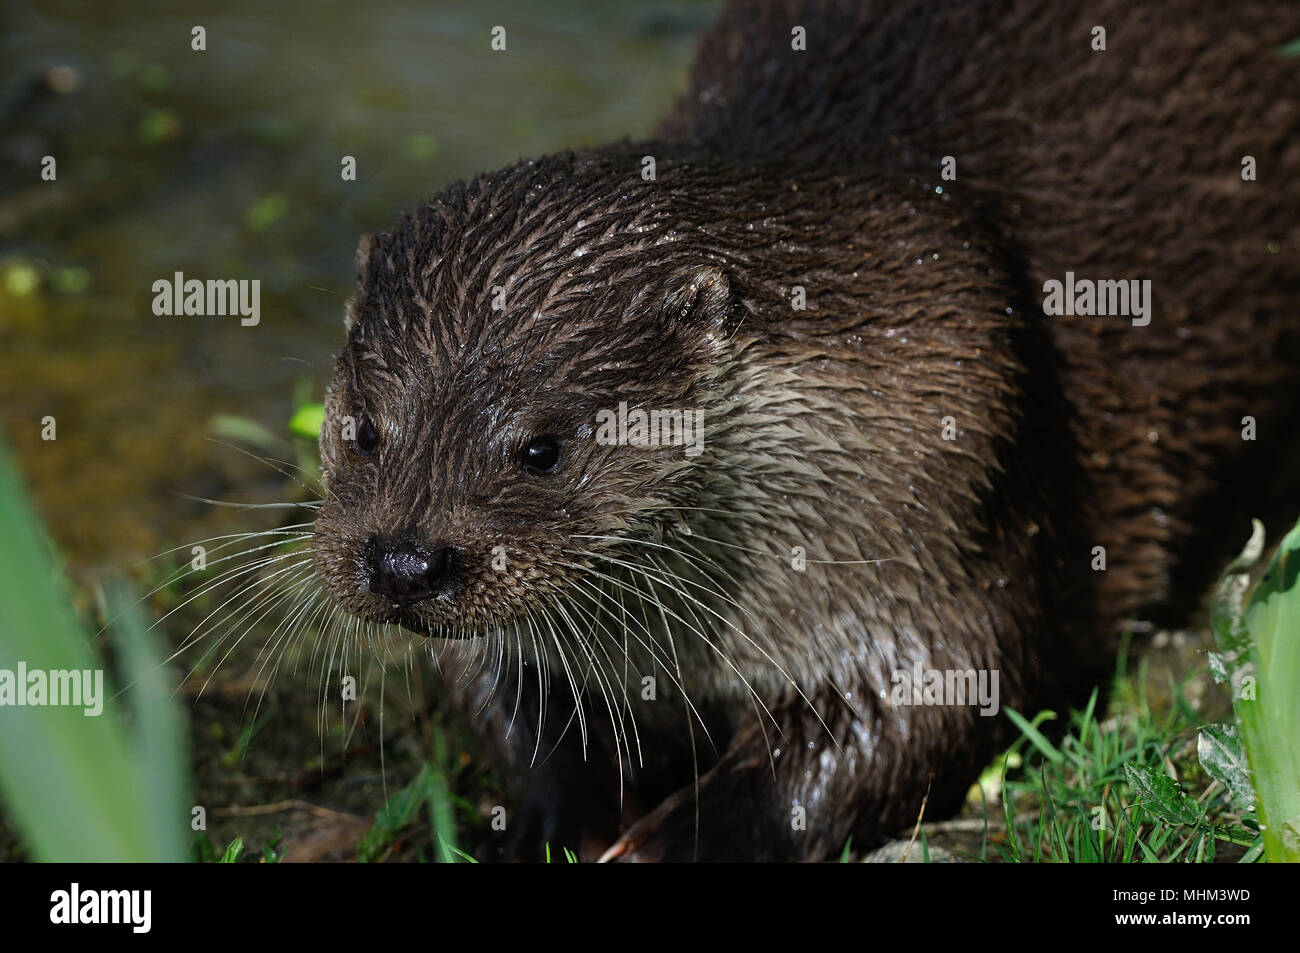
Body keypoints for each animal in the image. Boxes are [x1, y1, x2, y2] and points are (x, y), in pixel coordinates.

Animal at [310, 0, 1299, 861]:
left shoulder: (942, 496)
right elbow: (498, 696)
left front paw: (672, 840)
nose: (405, 561)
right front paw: (557, 815)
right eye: (364, 429)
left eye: (543, 449)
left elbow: (915, 707)